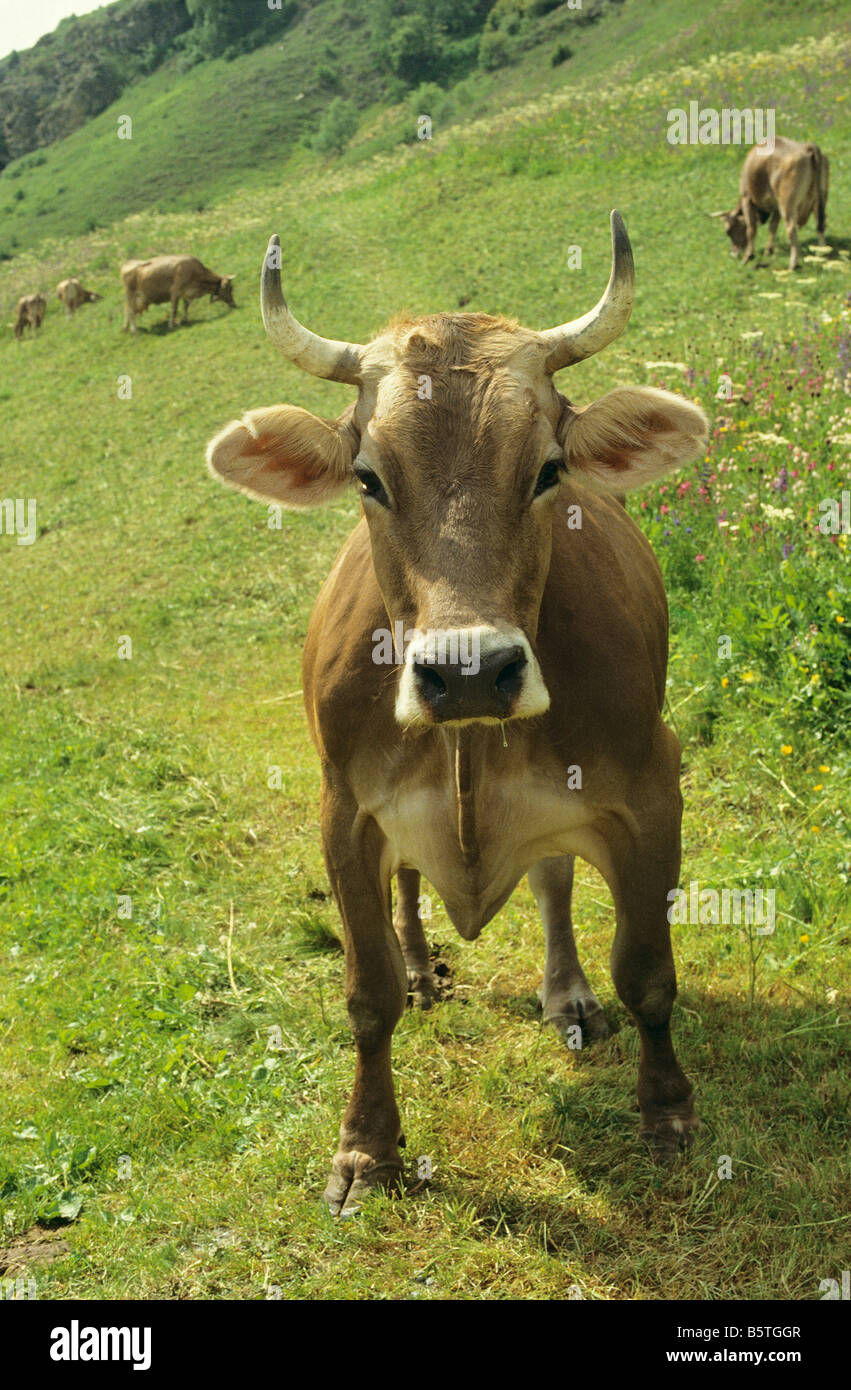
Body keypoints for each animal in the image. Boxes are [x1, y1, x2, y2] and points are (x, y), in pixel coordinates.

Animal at [207, 213, 709, 1215]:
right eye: (368, 477)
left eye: (548, 468)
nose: (469, 673)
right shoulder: (344, 811)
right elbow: (365, 997)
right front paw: (366, 1148)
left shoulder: (649, 789)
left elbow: (646, 969)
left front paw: (666, 1112)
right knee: (409, 892)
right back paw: (420, 965)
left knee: (552, 884)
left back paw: (565, 993)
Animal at [712, 136, 829, 271]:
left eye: (728, 231)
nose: (733, 253)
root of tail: (806, 147)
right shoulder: (776, 206)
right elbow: (773, 226)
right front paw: (768, 250)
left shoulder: (747, 198)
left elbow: (751, 229)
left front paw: (748, 257)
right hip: (820, 199)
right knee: (820, 224)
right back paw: (821, 254)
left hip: (787, 203)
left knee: (791, 228)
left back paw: (793, 264)